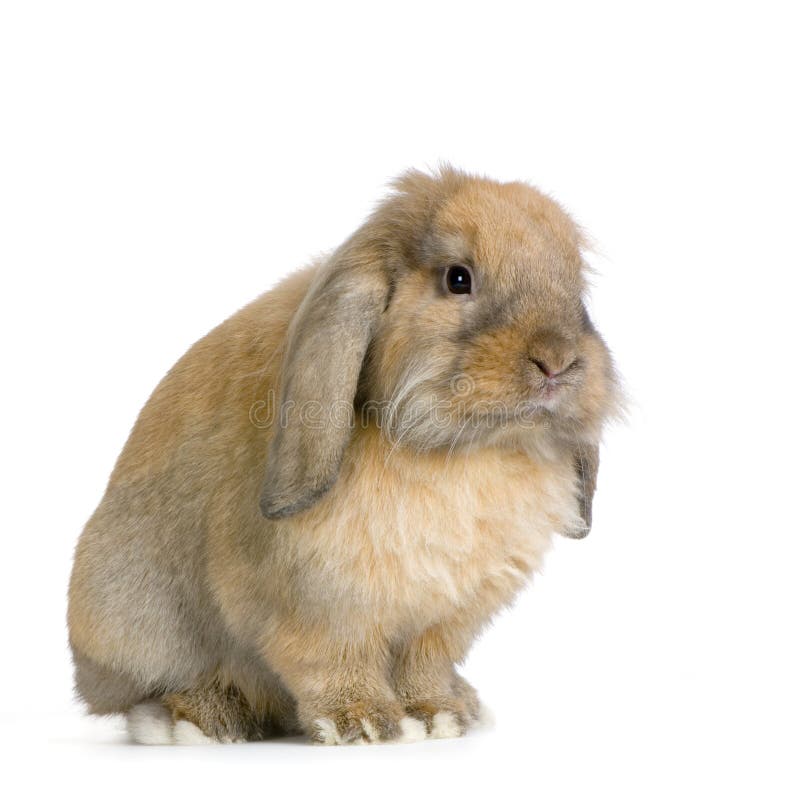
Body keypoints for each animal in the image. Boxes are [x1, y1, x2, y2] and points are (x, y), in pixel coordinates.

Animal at [67, 166, 620, 745]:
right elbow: (329, 658)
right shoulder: (321, 605)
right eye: (458, 278)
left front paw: (438, 714)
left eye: (575, 288)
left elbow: (425, 664)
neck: (462, 449)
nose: (557, 361)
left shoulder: (445, 618)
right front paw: (362, 722)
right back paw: (199, 720)